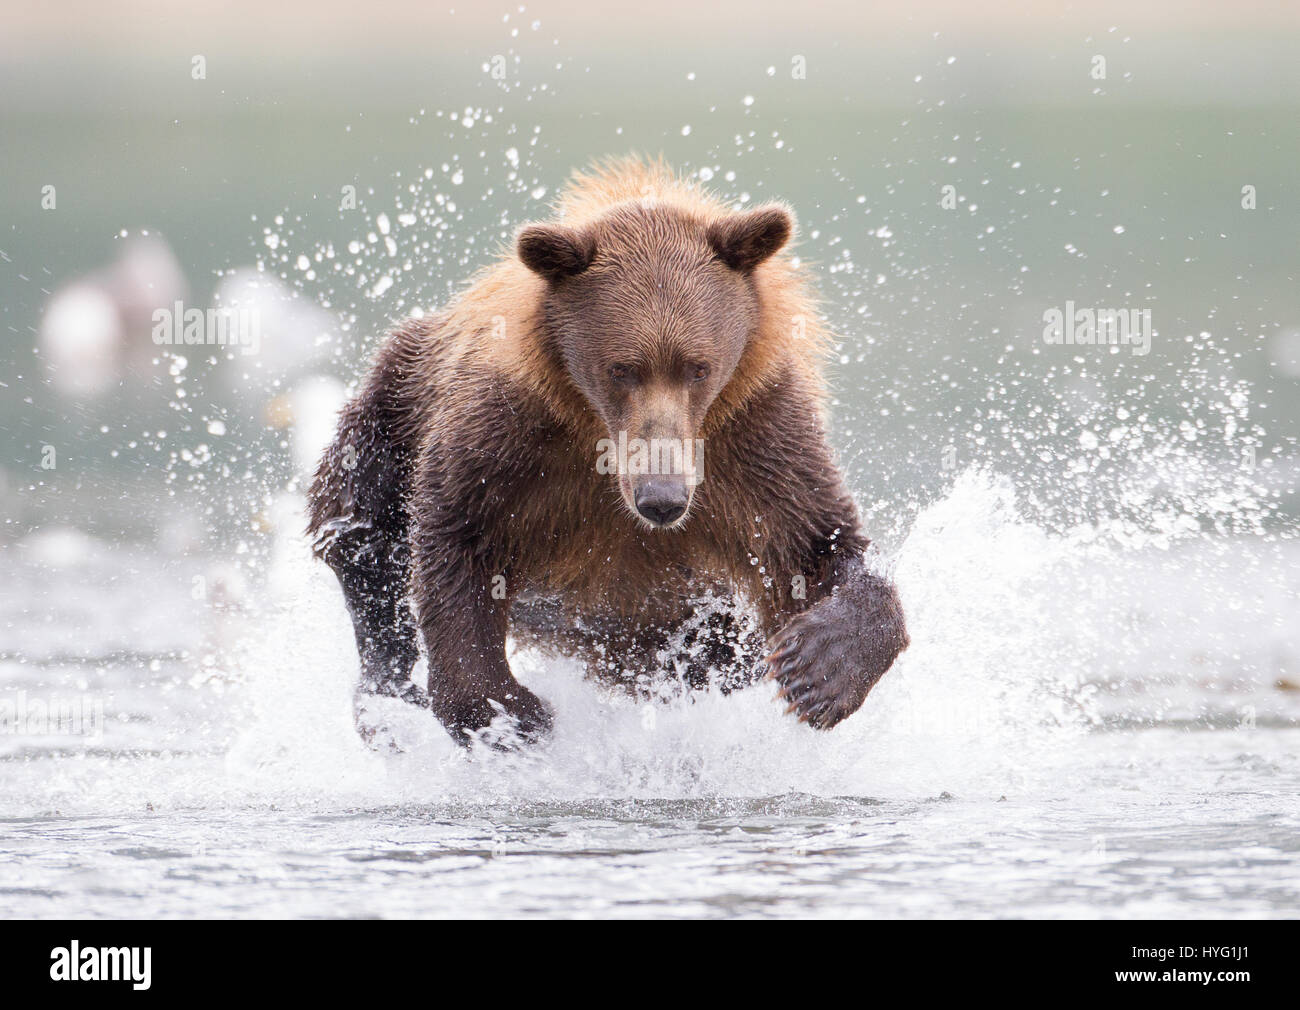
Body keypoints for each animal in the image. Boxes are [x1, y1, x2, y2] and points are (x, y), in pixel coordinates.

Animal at [307, 157, 909, 747]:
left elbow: (818, 540)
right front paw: (510, 714)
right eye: (622, 368)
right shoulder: (505, 437)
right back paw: (388, 695)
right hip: (396, 398)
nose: (661, 498)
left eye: (699, 367)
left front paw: (818, 670)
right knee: (362, 537)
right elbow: (455, 538)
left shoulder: (757, 435)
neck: (595, 431)